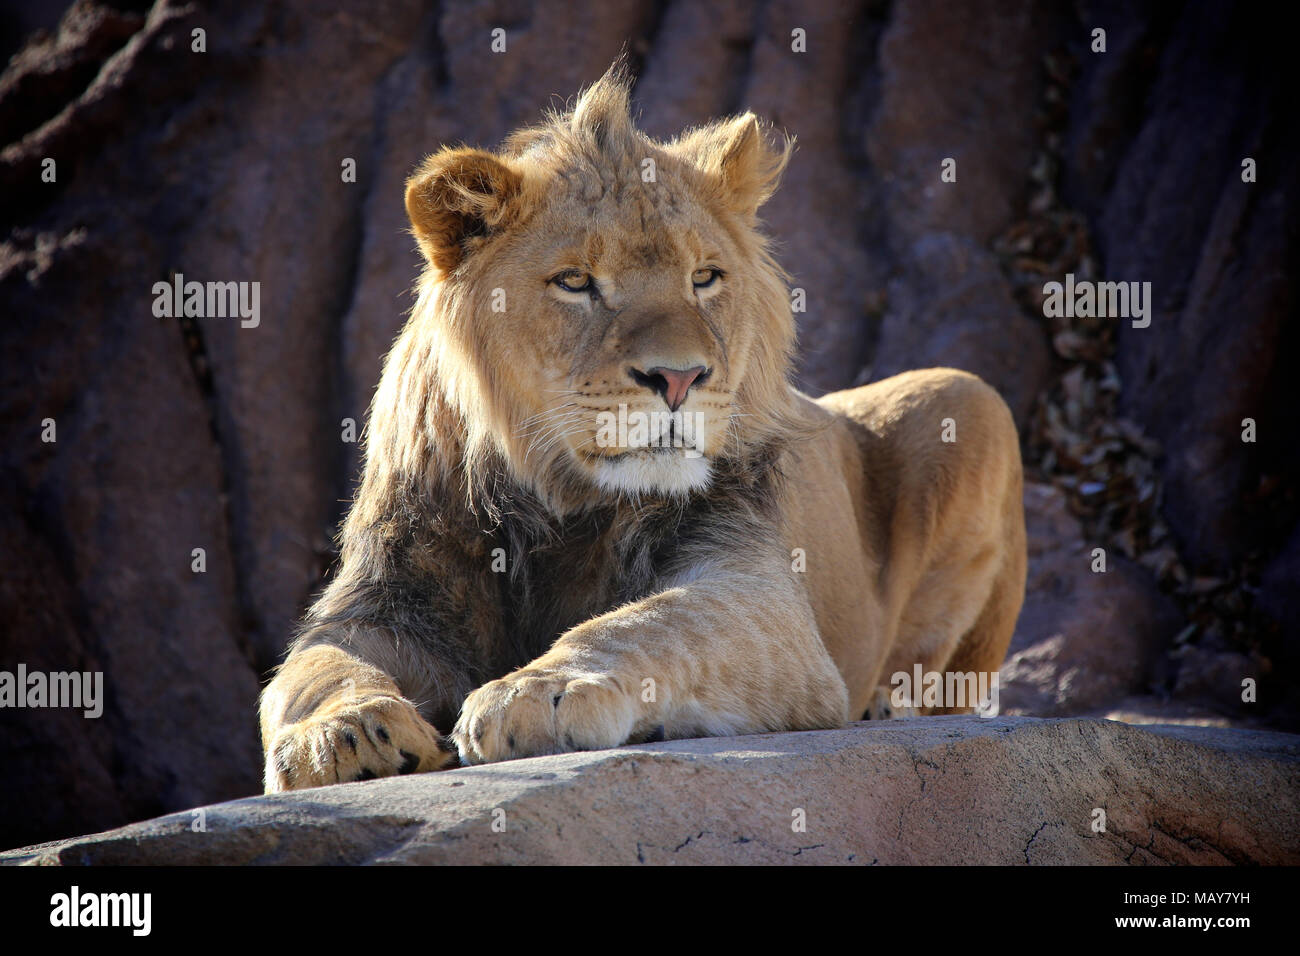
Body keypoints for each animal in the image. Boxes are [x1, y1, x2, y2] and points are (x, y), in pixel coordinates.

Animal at [257, 63, 1027, 791]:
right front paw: (342, 735)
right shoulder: (386, 600)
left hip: (968, 397)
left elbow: (650, 625)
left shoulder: (753, 586)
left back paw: (888, 705)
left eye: (705, 277)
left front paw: (538, 691)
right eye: (575, 282)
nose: (680, 379)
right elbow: (312, 669)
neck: (559, 502)